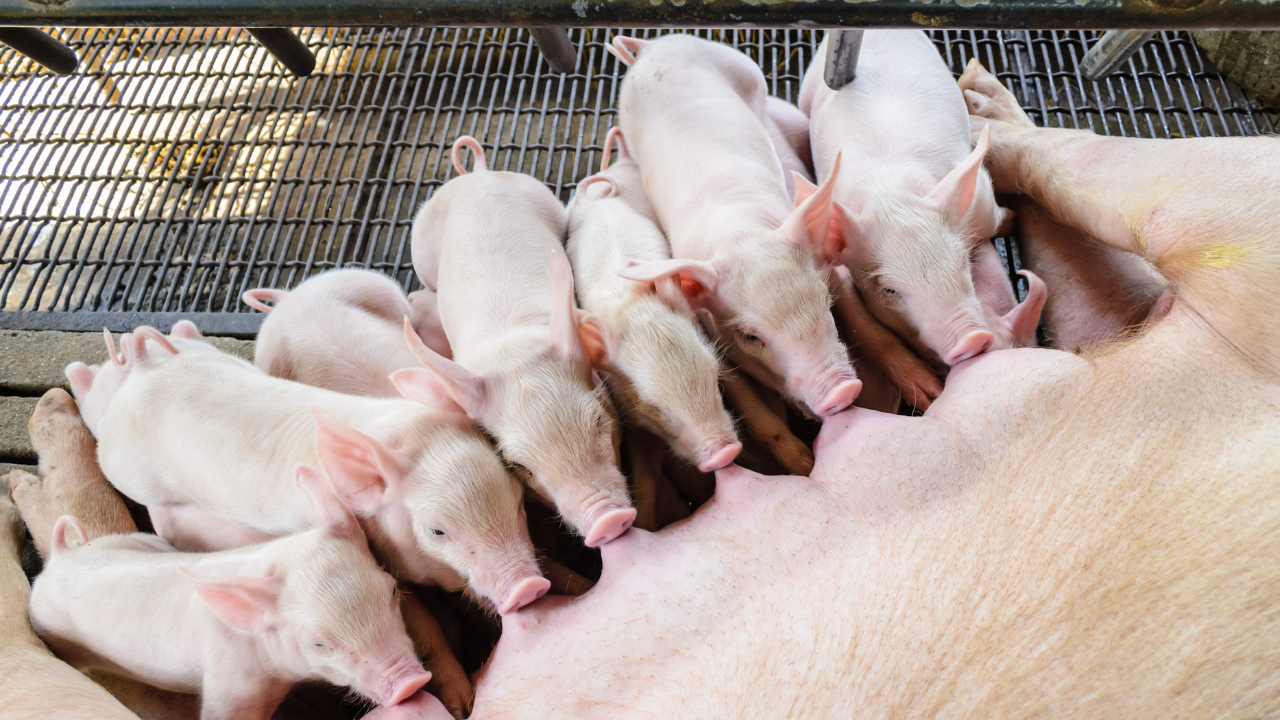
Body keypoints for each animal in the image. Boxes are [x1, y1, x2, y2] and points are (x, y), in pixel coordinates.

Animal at [28, 468, 433, 719]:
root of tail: (60, 557)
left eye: (392, 590)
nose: (412, 681)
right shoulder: (229, 685)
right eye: (319, 643)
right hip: (56, 638)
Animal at [610, 34, 861, 418]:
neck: (739, 232)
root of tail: (651, 46)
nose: (843, 390)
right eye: (750, 336)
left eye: (824, 302)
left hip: (746, 70)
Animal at [799, 30, 1045, 366]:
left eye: (963, 263)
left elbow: (996, 221)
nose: (972, 338)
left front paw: (1013, 219)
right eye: (889, 290)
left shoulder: (981, 196)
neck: (891, 191)